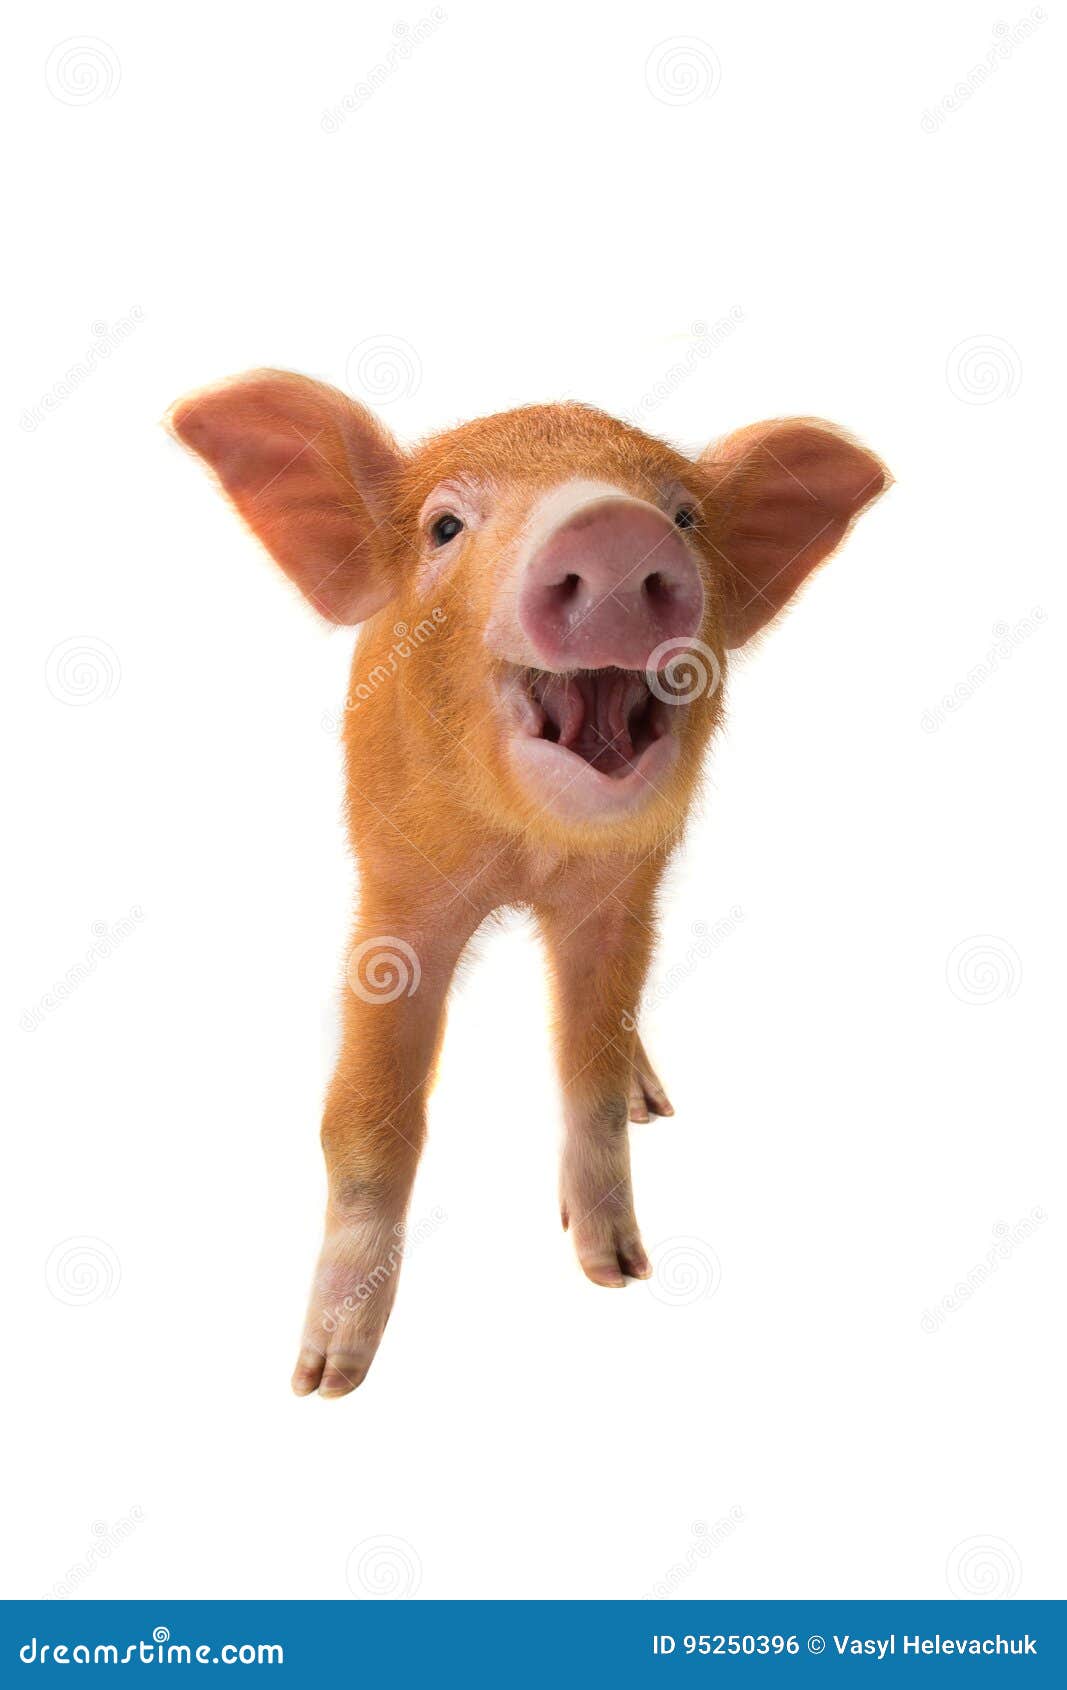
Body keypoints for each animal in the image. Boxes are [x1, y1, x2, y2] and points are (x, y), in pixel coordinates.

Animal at [169, 370, 888, 1397]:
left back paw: (651, 1099)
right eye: (443, 527)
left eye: (685, 515)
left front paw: (617, 1272)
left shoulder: (620, 895)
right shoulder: (397, 898)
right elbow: (366, 1117)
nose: (613, 526)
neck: (527, 856)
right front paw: (323, 1377)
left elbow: (589, 1068)